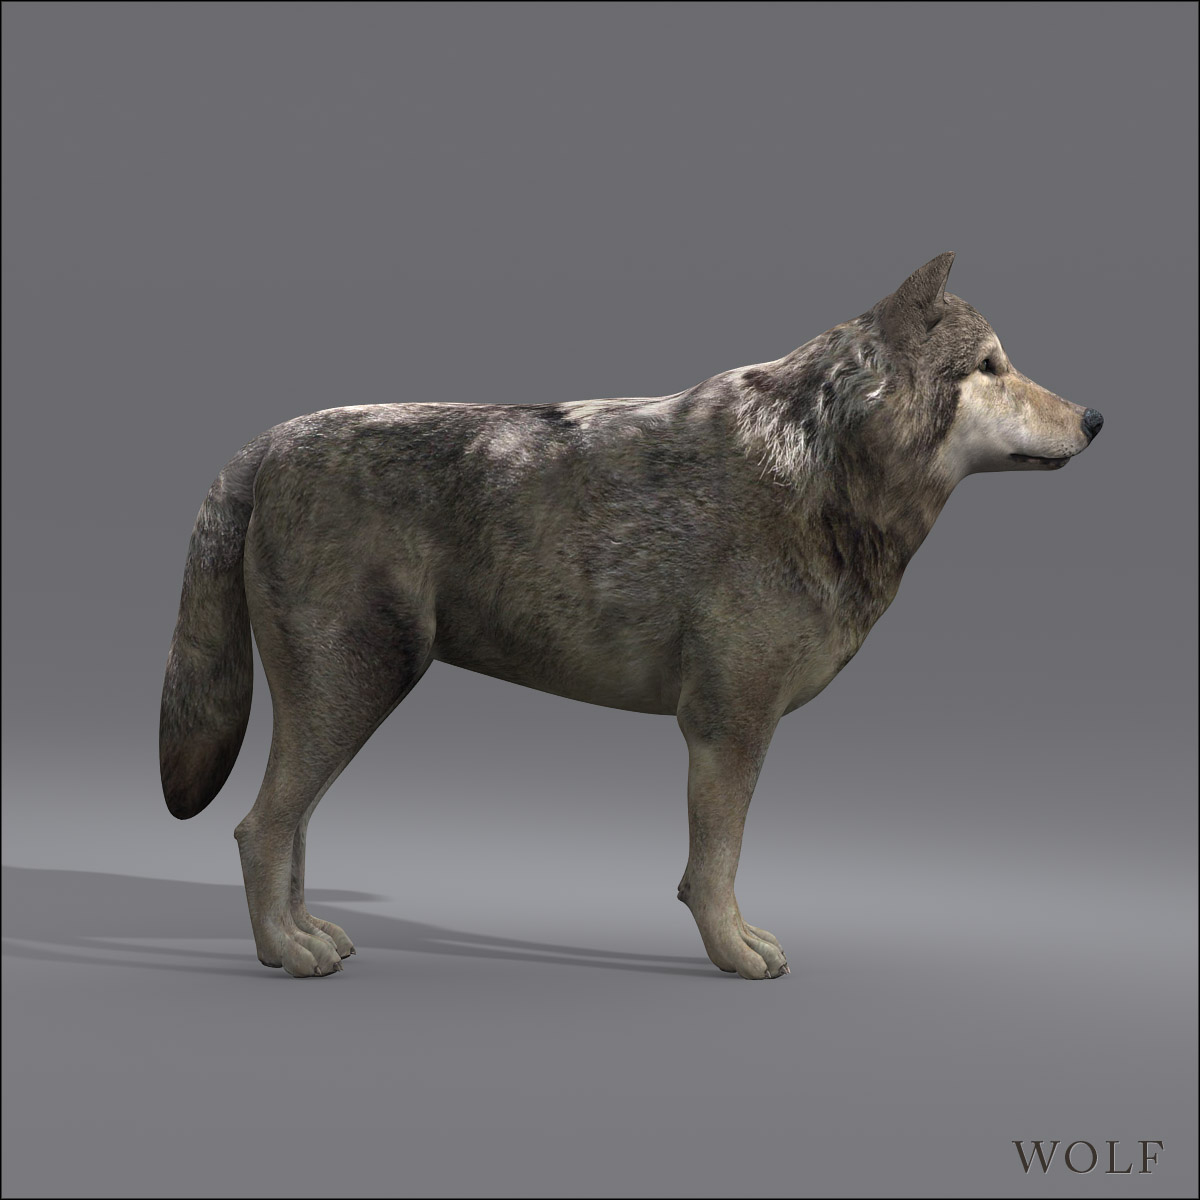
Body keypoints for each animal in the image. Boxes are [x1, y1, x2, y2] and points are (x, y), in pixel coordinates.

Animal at [160, 253, 1103, 979]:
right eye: (990, 366)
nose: (1096, 417)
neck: (822, 463)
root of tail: (268, 442)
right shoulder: (729, 723)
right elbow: (713, 866)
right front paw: (734, 956)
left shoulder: (729, 725)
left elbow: (714, 864)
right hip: (357, 692)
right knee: (258, 828)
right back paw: (287, 954)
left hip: (345, 704)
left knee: (292, 828)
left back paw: (305, 936)